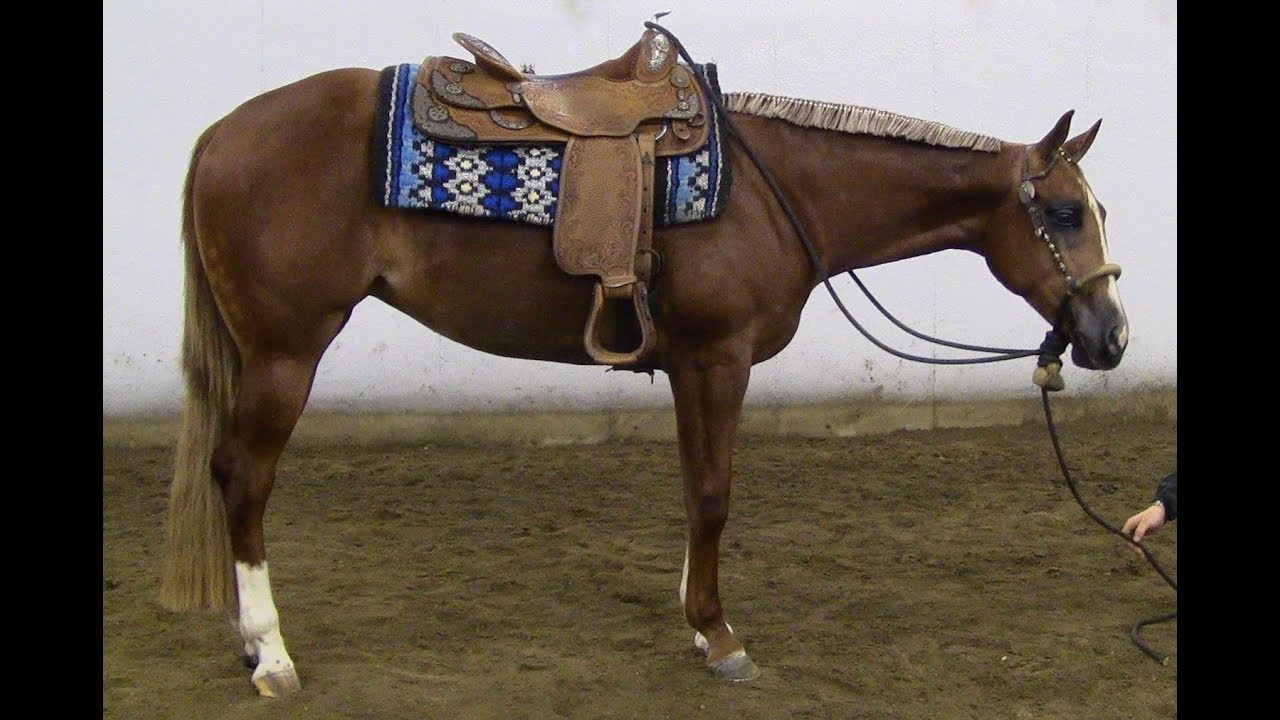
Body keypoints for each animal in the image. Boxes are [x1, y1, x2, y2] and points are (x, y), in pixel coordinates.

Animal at [157, 25, 1127, 697]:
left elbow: (694, 487)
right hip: (286, 350)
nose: (1111, 334)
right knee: (243, 478)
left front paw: (699, 623)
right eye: (1066, 214)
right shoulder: (720, 358)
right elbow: (714, 494)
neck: (777, 187)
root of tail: (222, 133)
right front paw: (723, 638)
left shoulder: (691, 365)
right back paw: (270, 654)